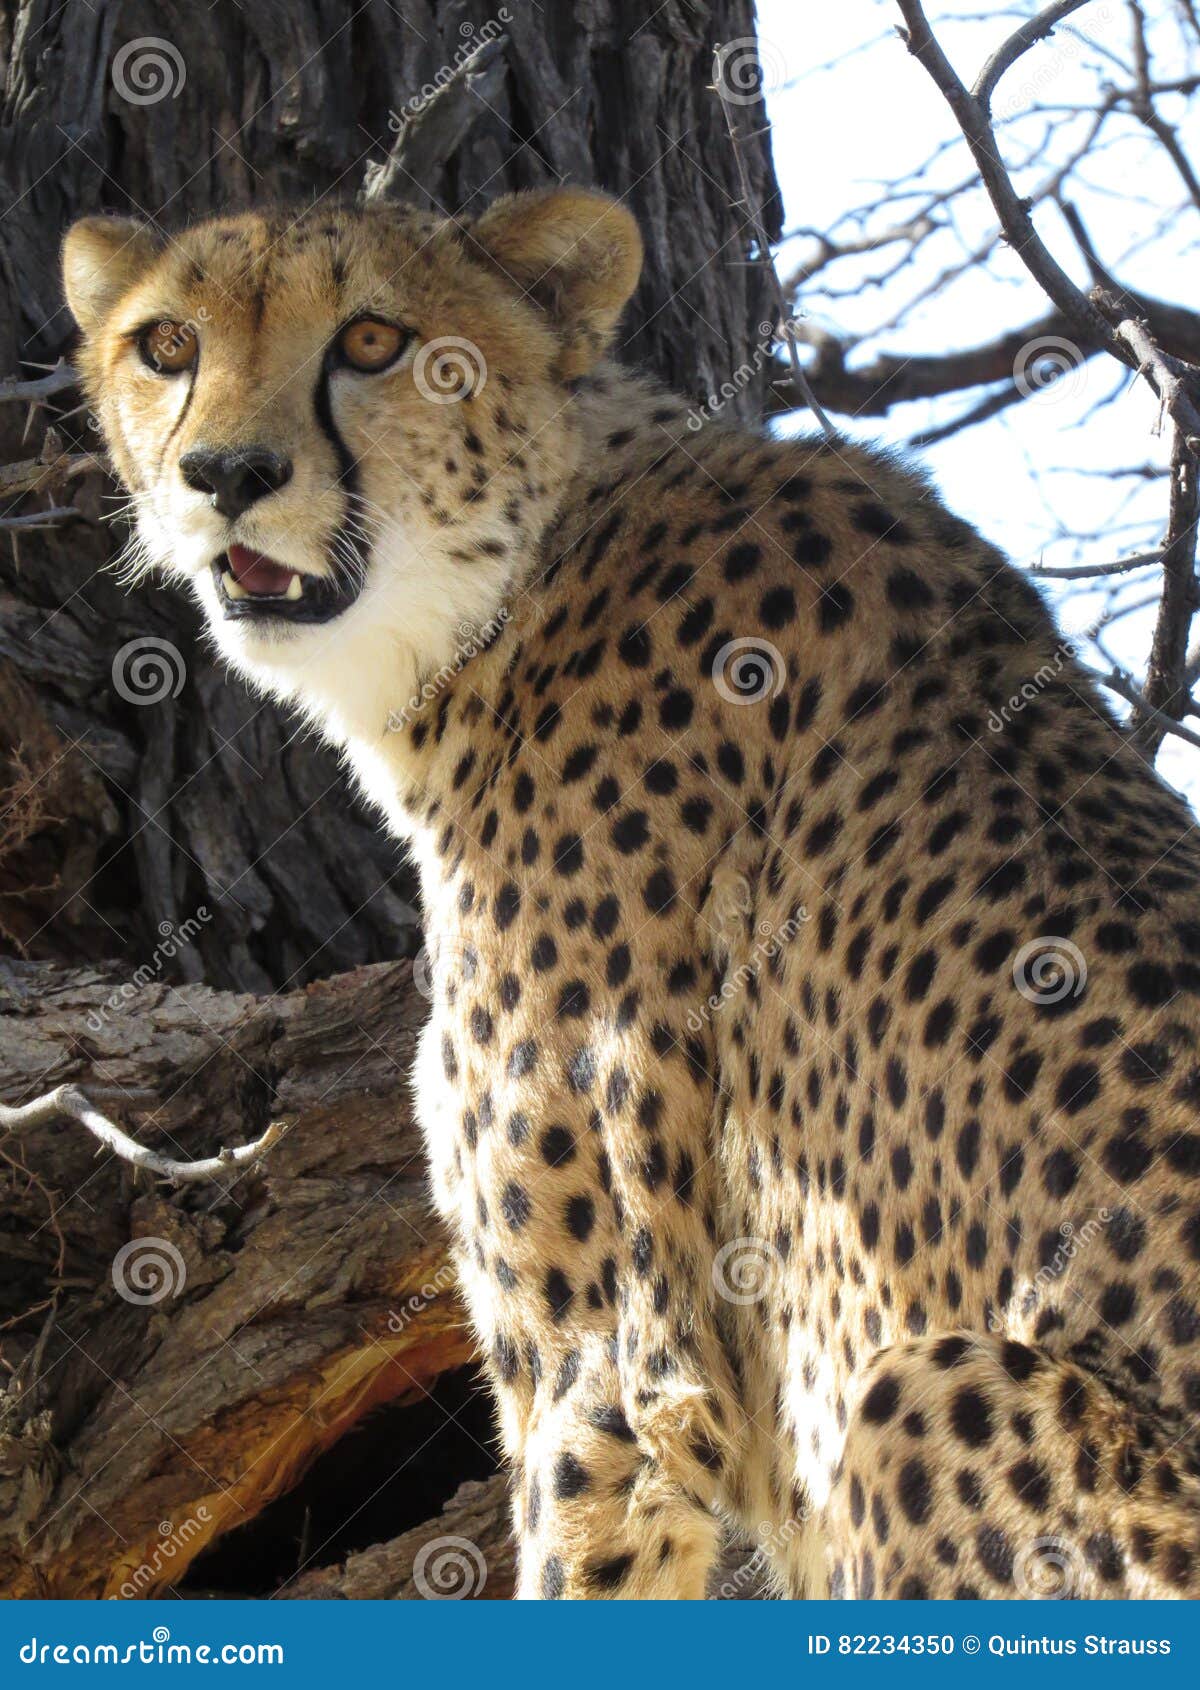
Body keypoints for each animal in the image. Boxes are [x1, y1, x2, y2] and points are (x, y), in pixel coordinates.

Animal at [63, 187, 1200, 1600]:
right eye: (166, 344)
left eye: (374, 339)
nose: (224, 474)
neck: (511, 586)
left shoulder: (613, 1373)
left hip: (917, 1387)